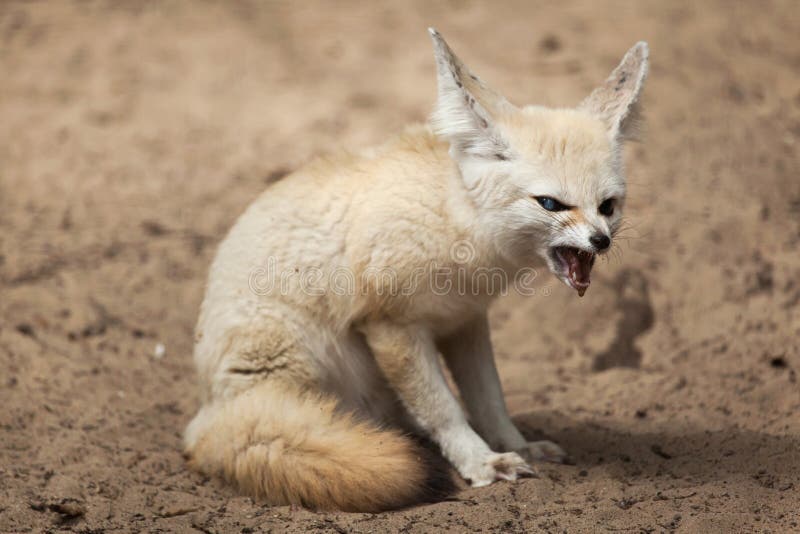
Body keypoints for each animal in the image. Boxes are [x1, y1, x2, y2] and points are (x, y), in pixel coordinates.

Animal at [184, 29, 648, 512]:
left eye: (608, 207)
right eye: (551, 204)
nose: (601, 241)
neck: (454, 221)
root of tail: (207, 417)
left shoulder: (466, 322)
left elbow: (490, 399)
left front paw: (515, 446)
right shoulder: (392, 327)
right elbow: (443, 408)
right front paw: (480, 462)